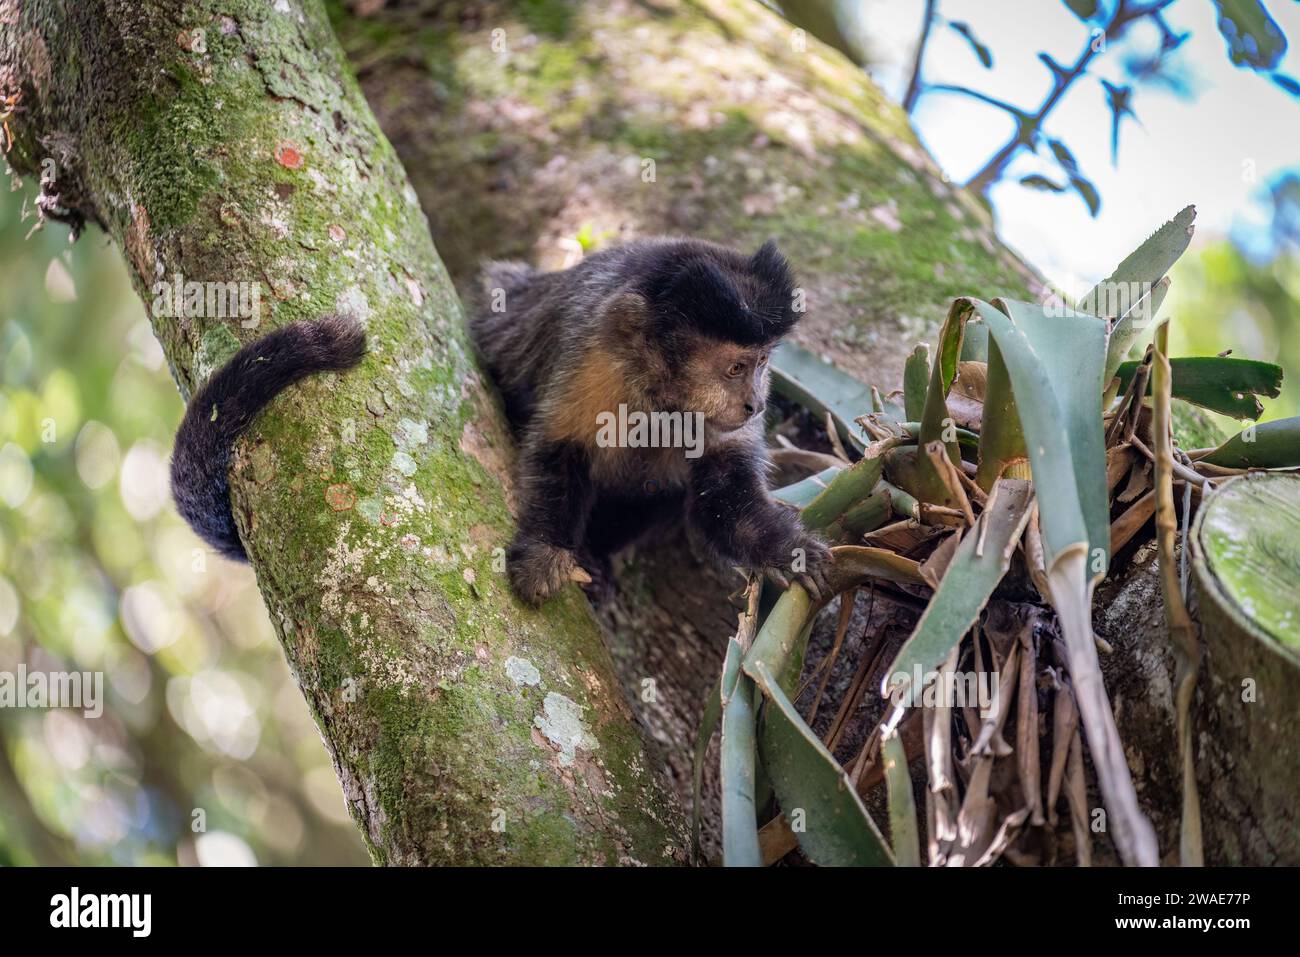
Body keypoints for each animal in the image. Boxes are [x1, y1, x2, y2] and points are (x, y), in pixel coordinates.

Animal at [469, 237, 832, 606]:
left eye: (762, 362)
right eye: (735, 369)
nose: (756, 405)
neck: (661, 403)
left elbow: (726, 491)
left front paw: (789, 551)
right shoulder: (594, 360)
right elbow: (559, 446)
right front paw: (545, 549)